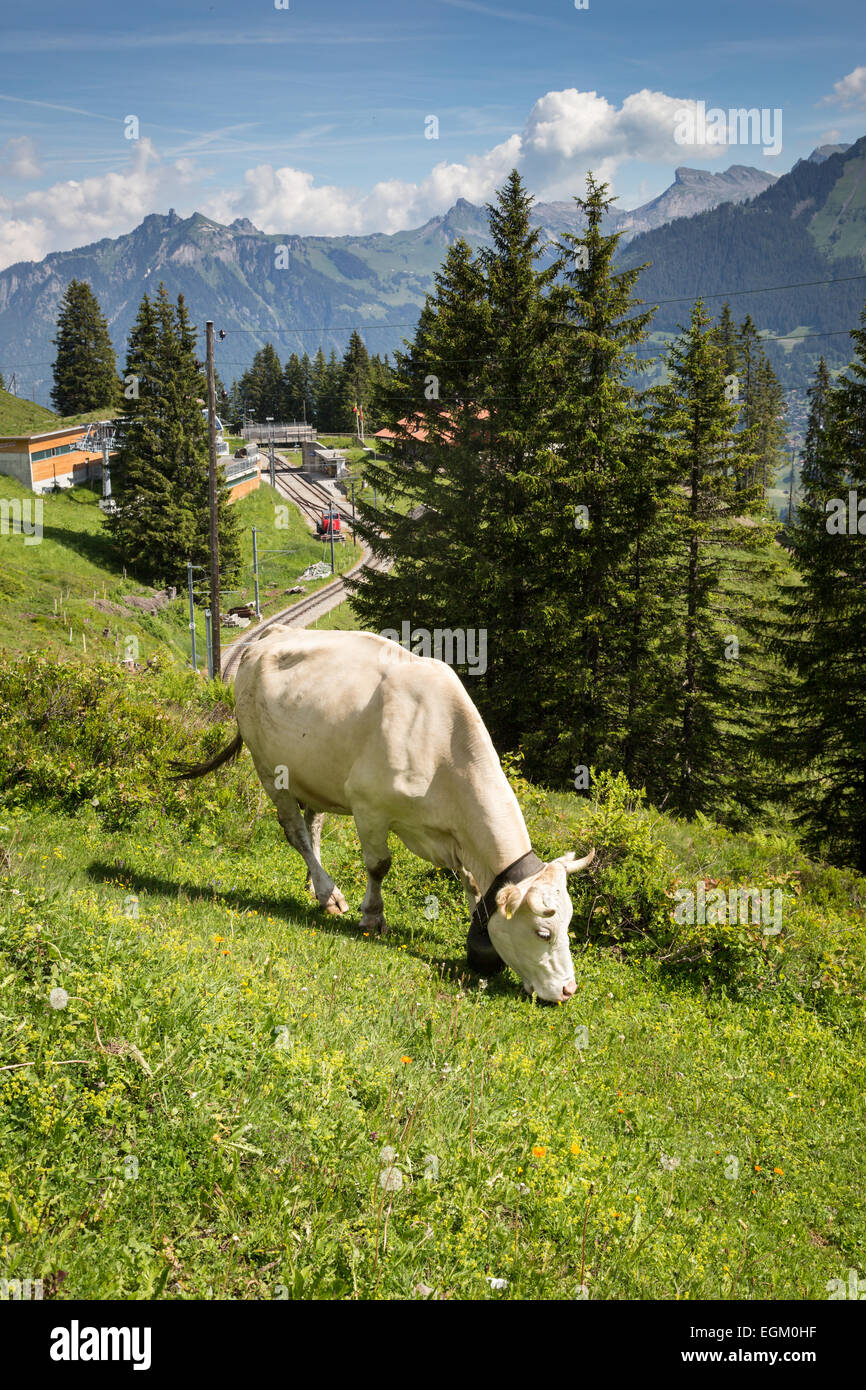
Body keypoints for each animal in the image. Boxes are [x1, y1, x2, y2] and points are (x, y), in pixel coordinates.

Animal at [171, 629, 594, 1003]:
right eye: (543, 932)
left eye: (568, 925)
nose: (569, 990)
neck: (443, 748)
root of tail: (267, 637)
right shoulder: (369, 807)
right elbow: (378, 865)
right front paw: (372, 917)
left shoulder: (452, 835)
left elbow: (473, 883)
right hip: (269, 768)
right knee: (295, 832)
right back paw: (329, 894)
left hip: (314, 772)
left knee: (313, 825)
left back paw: (314, 884)